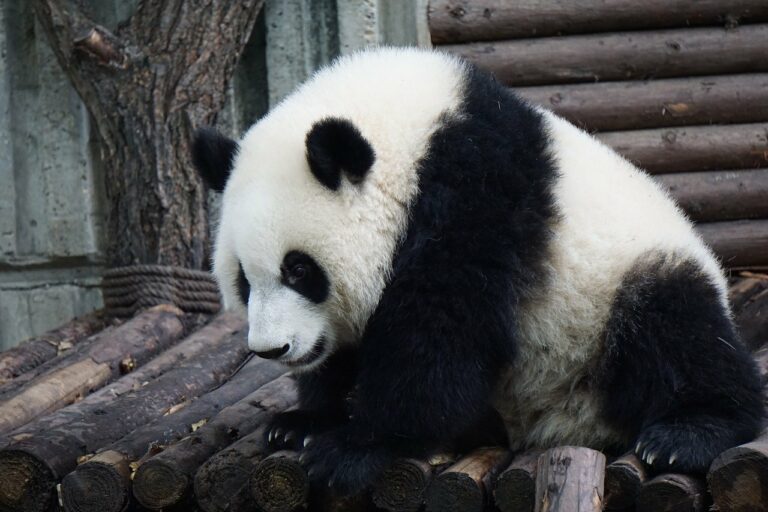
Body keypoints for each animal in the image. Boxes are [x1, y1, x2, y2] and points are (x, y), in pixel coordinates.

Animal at [192, 47, 763, 493]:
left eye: (299, 270)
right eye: (243, 279)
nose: (274, 349)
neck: (410, 134)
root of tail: (563, 423)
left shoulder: (474, 198)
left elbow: (441, 337)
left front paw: (353, 448)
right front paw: (302, 423)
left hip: (618, 292)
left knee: (674, 328)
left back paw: (686, 433)